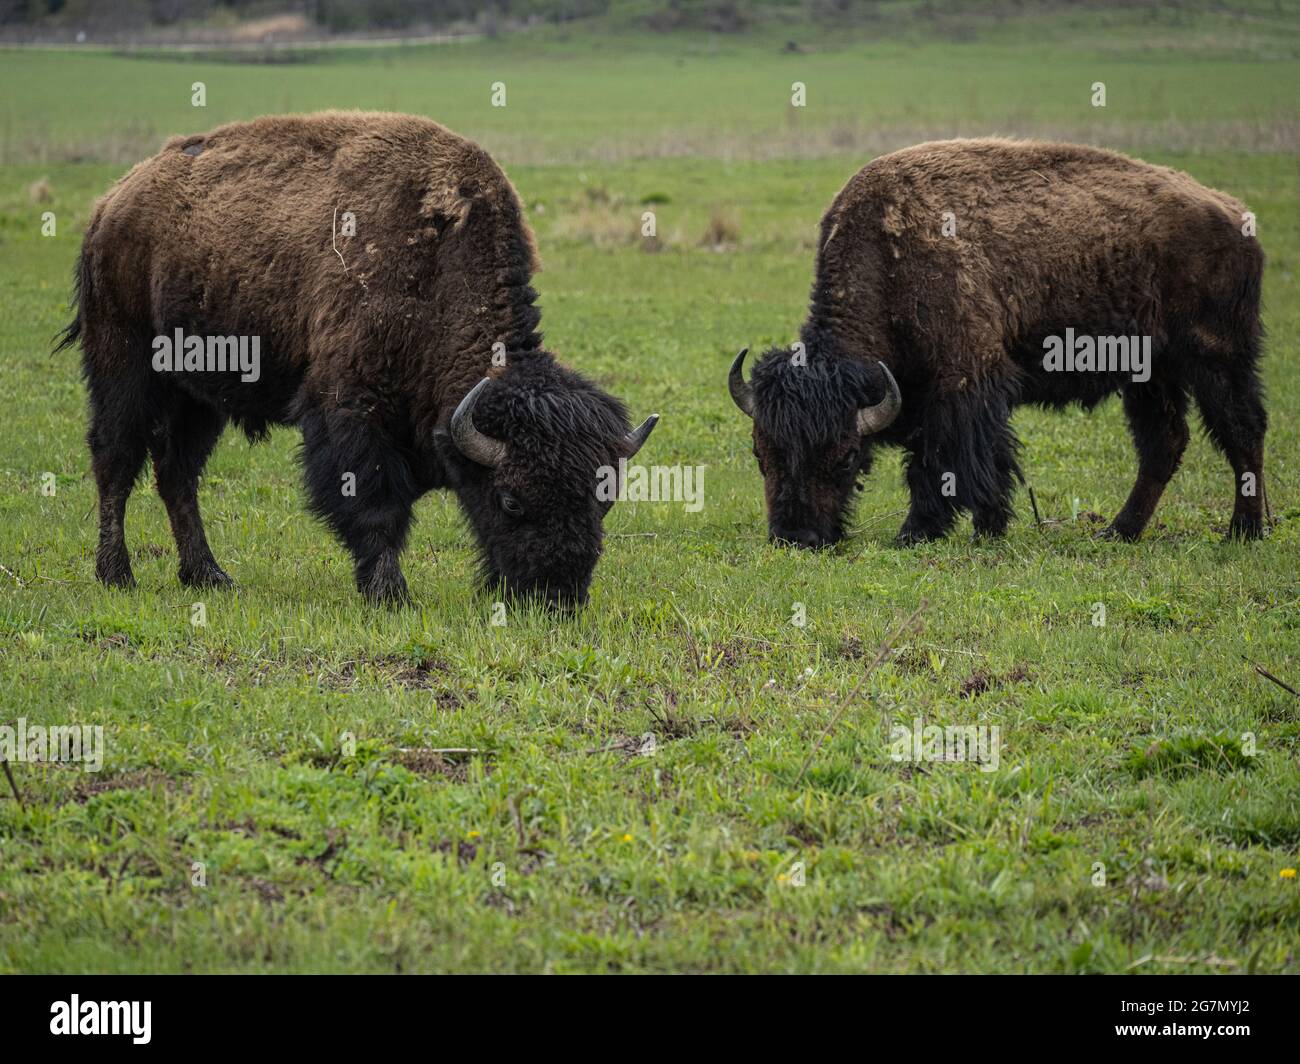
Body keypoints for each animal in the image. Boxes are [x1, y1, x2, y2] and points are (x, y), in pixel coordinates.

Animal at [58, 111, 657, 607]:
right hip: (125, 365)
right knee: (116, 458)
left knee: (177, 471)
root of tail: (111, 205)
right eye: (510, 501)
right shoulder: (352, 411)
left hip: (198, 393)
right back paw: (117, 574)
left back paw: (208, 575)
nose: (559, 596)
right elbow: (374, 503)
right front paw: (389, 592)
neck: (439, 272)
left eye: (602, 500)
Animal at [729, 138, 1267, 548]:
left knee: (1242, 430)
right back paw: (1119, 532)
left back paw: (1243, 531)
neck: (891, 261)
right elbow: (971, 459)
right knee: (1164, 443)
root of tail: (1234, 214)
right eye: (760, 453)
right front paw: (977, 527)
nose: (796, 537)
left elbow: (950, 461)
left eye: (845, 456)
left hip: (1218, 357)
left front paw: (927, 532)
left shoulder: (965, 380)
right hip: (1150, 374)